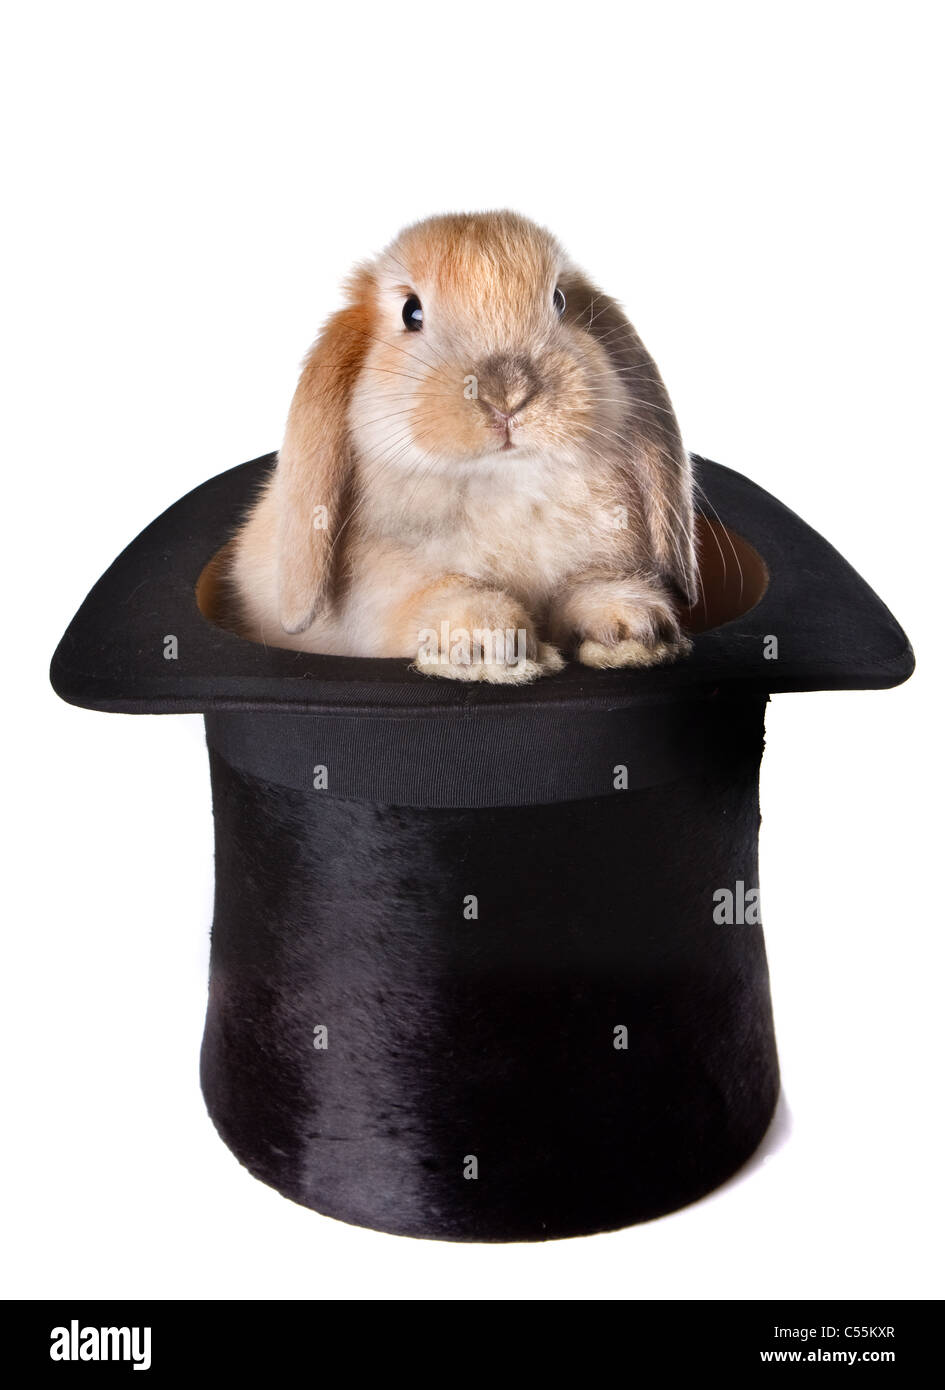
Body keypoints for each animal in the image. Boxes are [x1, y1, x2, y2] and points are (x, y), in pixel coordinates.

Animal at [227, 211, 698, 683]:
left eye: (560, 300)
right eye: (411, 312)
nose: (508, 394)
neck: (505, 483)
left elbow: (585, 584)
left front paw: (633, 627)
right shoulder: (381, 597)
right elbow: (436, 593)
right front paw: (490, 642)